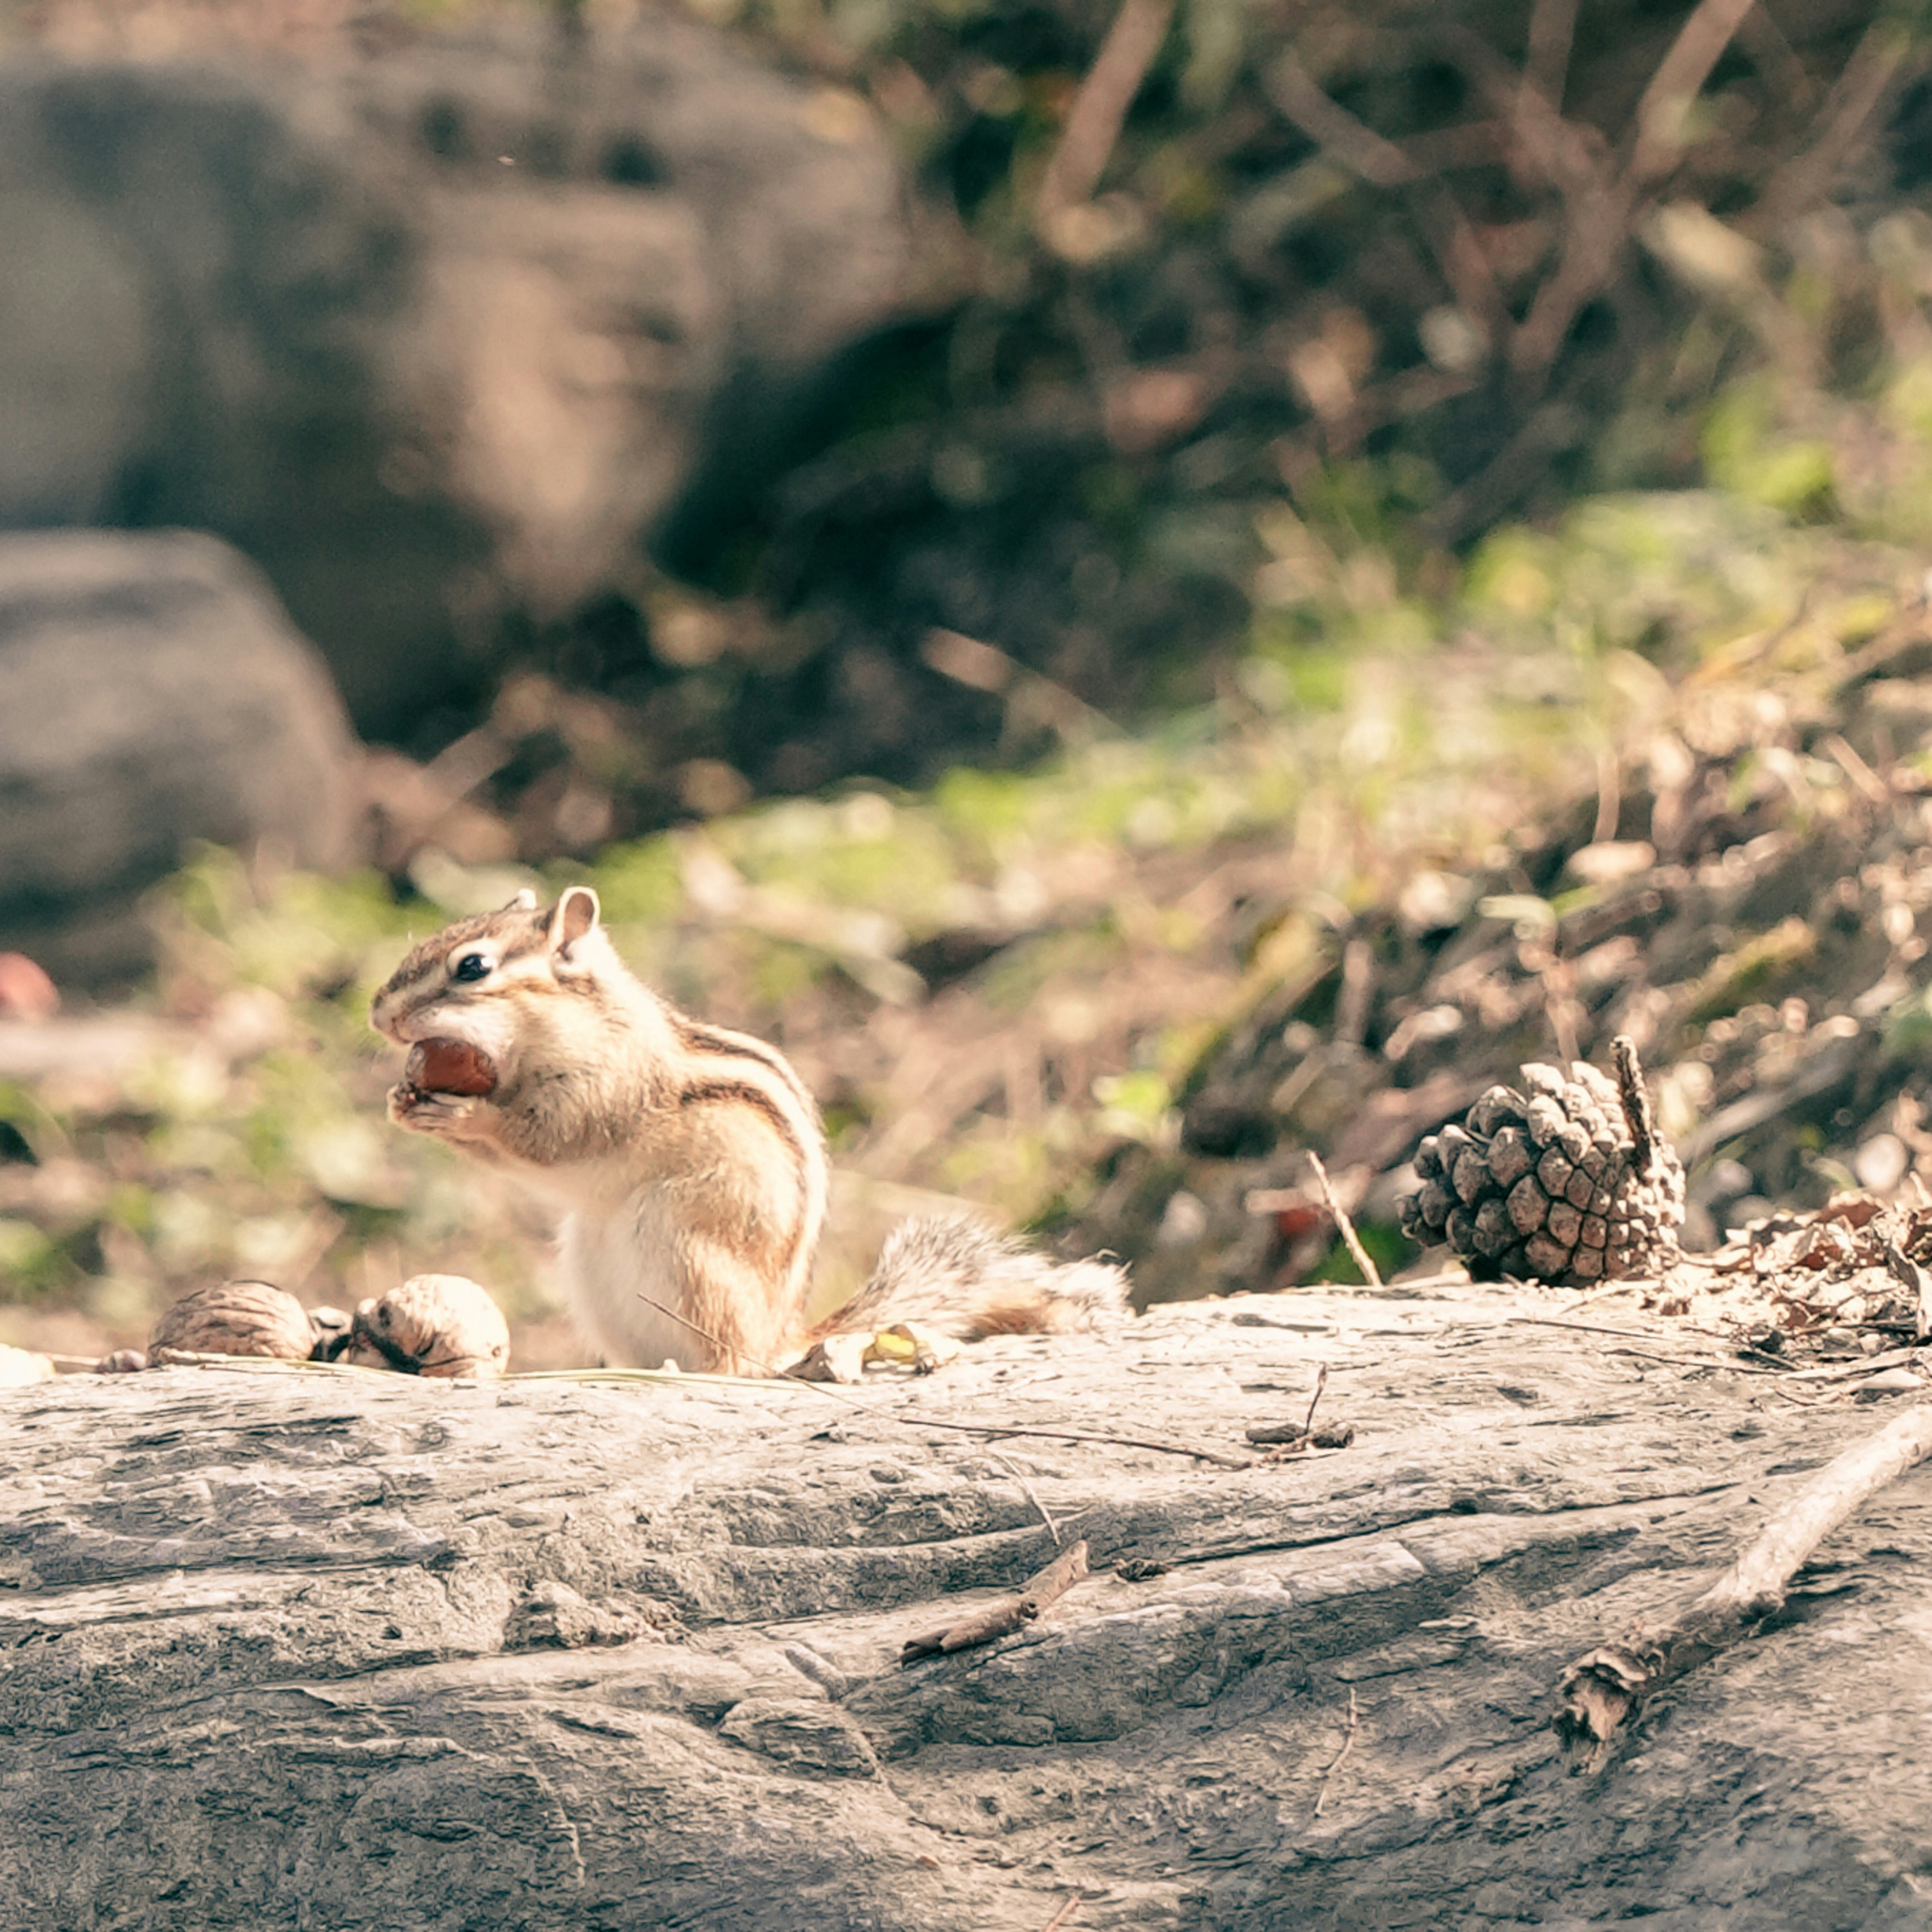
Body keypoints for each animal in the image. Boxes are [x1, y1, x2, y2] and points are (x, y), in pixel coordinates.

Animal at [370, 886, 1128, 1376]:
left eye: (472, 967)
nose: (378, 1016)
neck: (561, 1027)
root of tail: (780, 1338)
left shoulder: (603, 1091)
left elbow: (545, 1141)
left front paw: (461, 1114)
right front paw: (402, 1100)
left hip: (686, 1251)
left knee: (729, 1364)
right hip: (591, 1260)